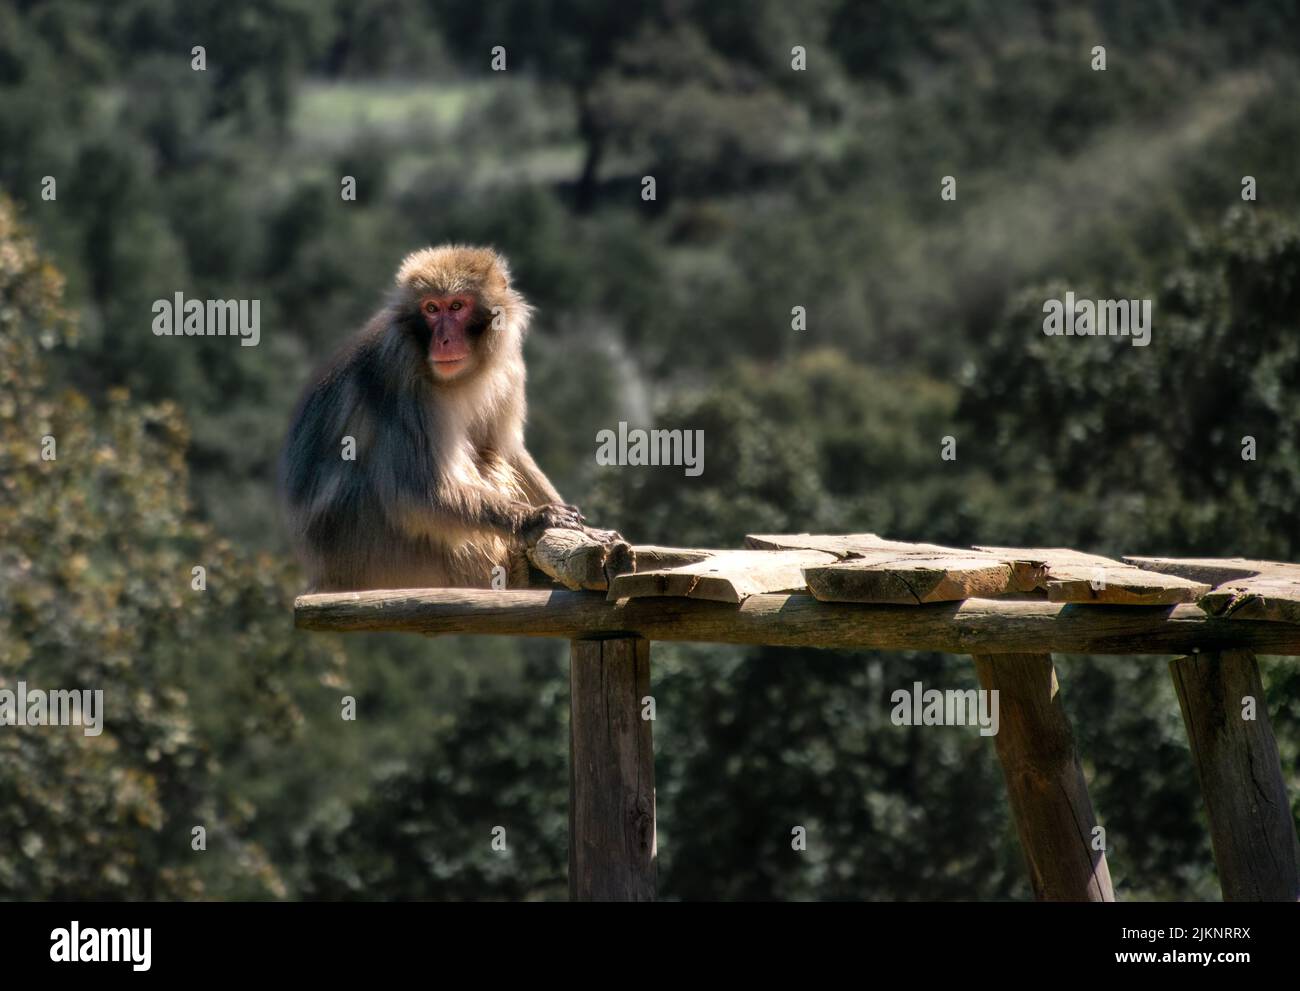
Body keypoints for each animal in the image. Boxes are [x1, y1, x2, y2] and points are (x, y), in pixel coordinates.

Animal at [280, 244, 602, 591]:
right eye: (432, 308)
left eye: (457, 306)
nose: (444, 340)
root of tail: (323, 575)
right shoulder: (401, 379)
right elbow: (418, 493)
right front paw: (535, 518)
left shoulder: (509, 365)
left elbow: (508, 449)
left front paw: (587, 531)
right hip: (378, 556)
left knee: (488, 453)